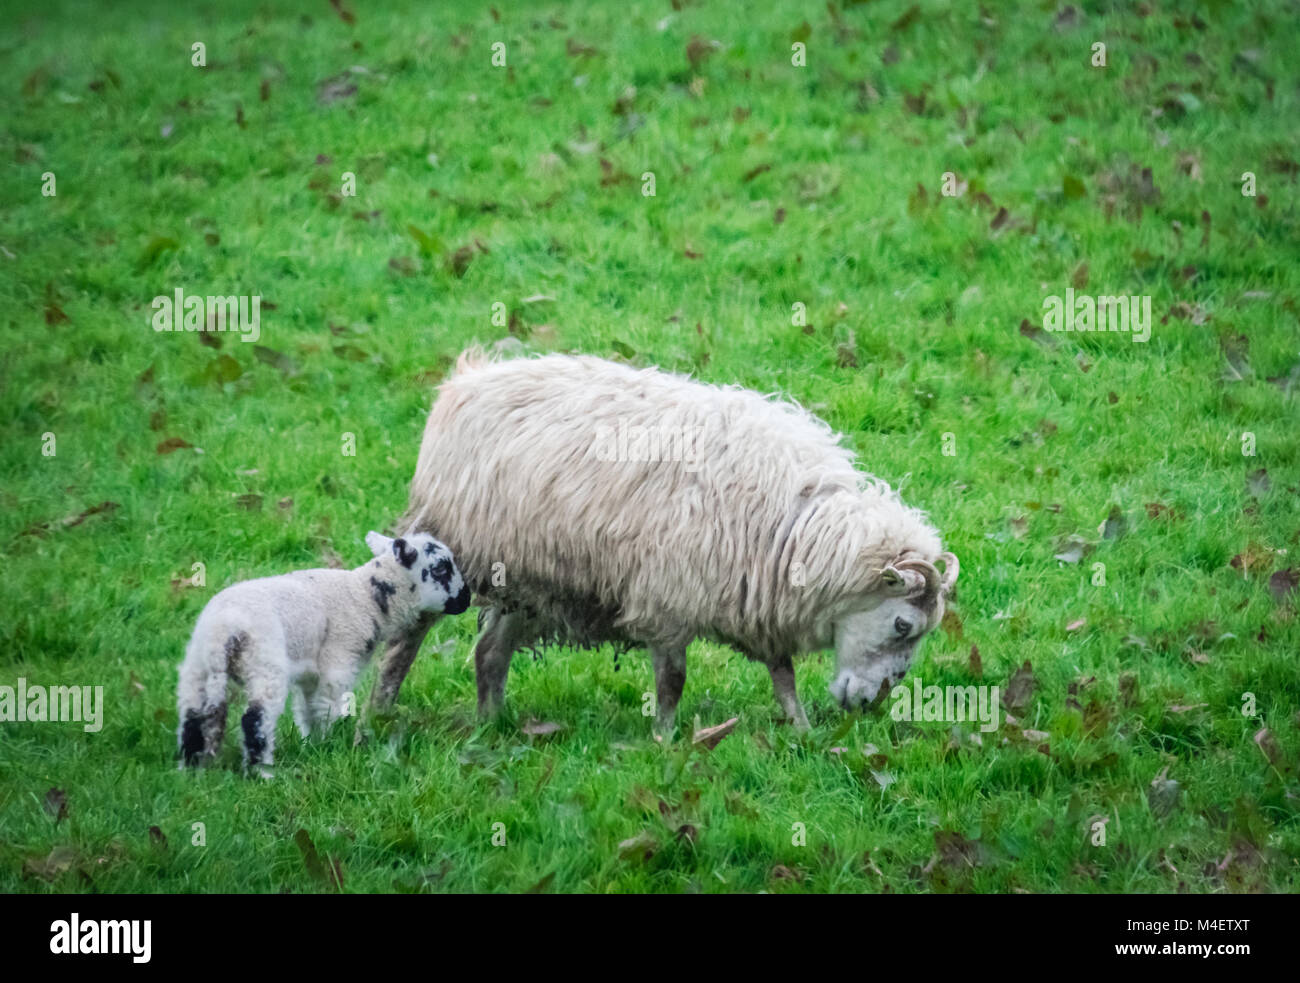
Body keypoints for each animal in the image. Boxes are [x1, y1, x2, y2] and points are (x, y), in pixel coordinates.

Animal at [177, 532, 469, 773]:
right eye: (441, 568)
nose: (466, 599)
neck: (366, 598)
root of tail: (223, 630)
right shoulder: (338, 661)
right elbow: (326, 707)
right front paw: (326, 748)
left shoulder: (311, 674)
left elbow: (307, 709)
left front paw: (311, 745)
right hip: (264, 662)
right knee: (255, 719)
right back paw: (262, 771)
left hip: (197, 666)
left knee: (192, 715)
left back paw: (191, 769)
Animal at [370, 350, 958, 736]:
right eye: (902, 625)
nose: (871, 704)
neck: (800, 527)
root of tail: (466, 380)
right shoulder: (668, 596)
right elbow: (672, 678)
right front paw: (666, 740)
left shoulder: (758, 600)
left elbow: (782, 674)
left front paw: (802, 729)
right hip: (450, 553)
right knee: (409, 637)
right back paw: (380, 710)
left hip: (529, 579)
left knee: (490, 652)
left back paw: (493, 724)